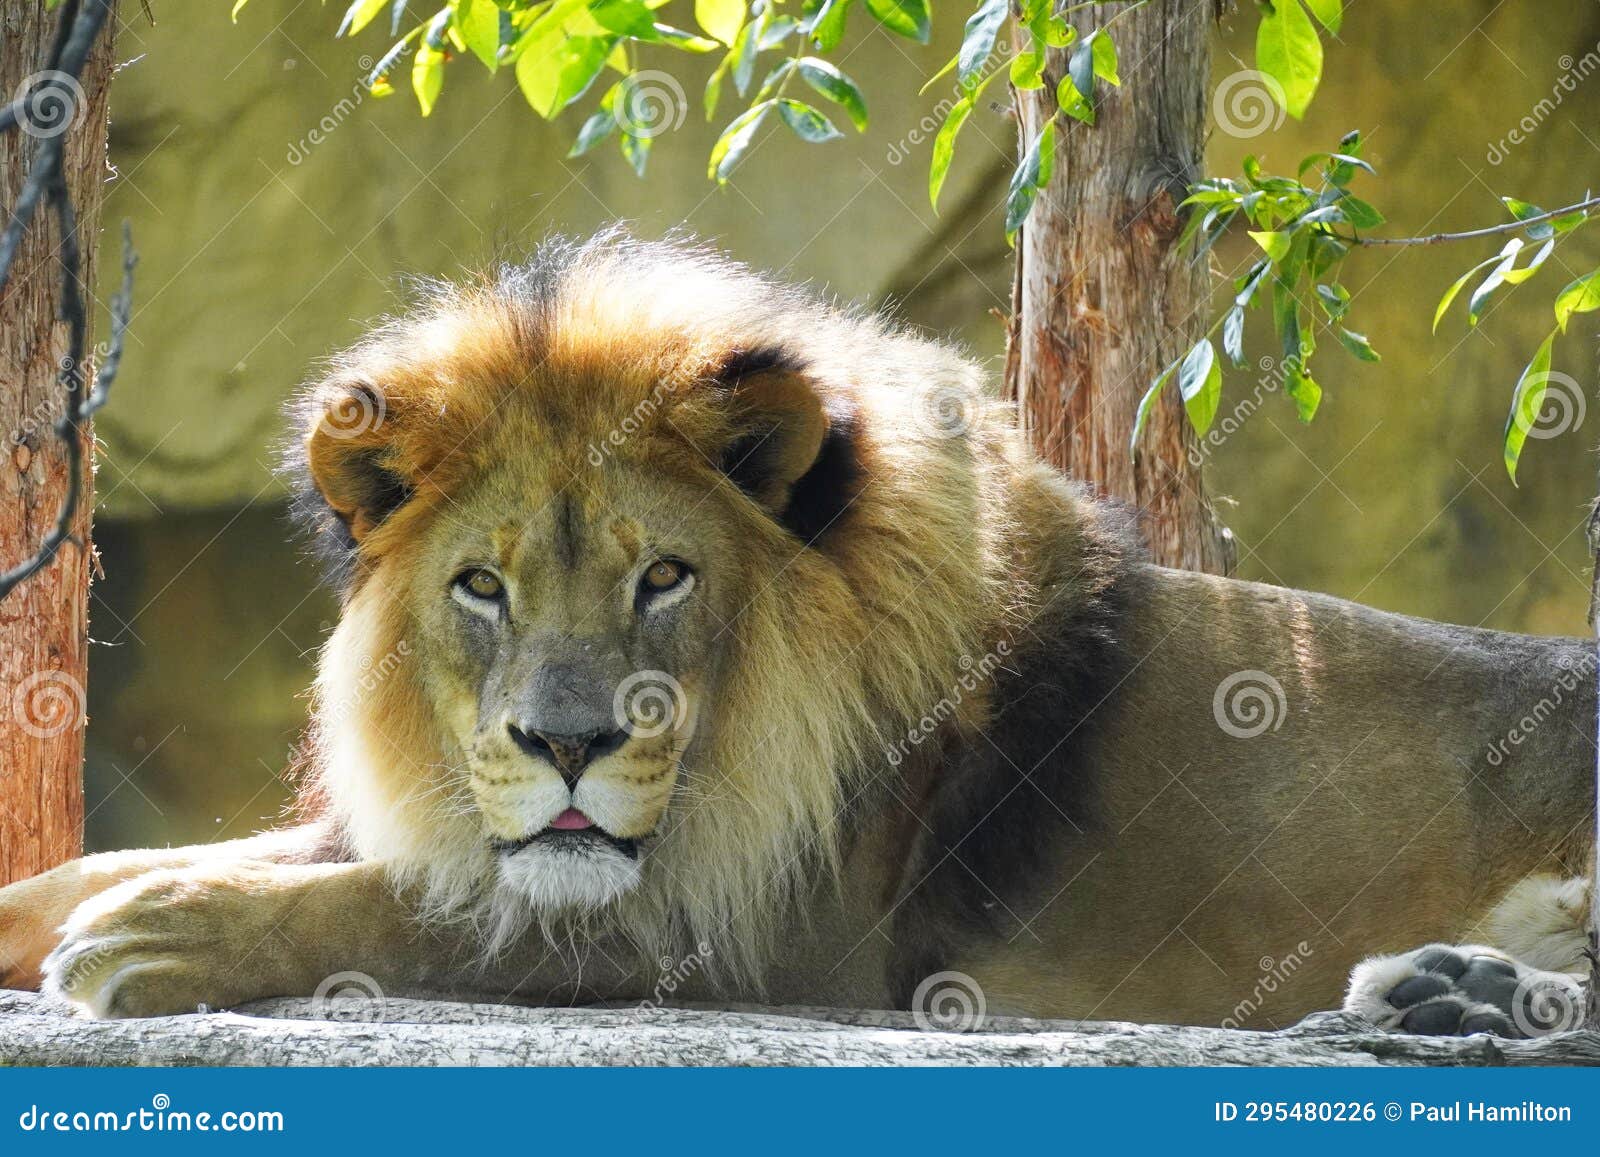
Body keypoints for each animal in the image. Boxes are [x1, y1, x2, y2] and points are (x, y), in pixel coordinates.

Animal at [0, 230, 1592, 1036]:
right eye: (480, 586)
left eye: (663, 577)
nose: (567, 745)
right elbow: (184, 859)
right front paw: (81, 905)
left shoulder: (784, 931)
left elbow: (420, 914)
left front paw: (159, 935)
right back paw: (1442, 988)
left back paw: (1464, 993)